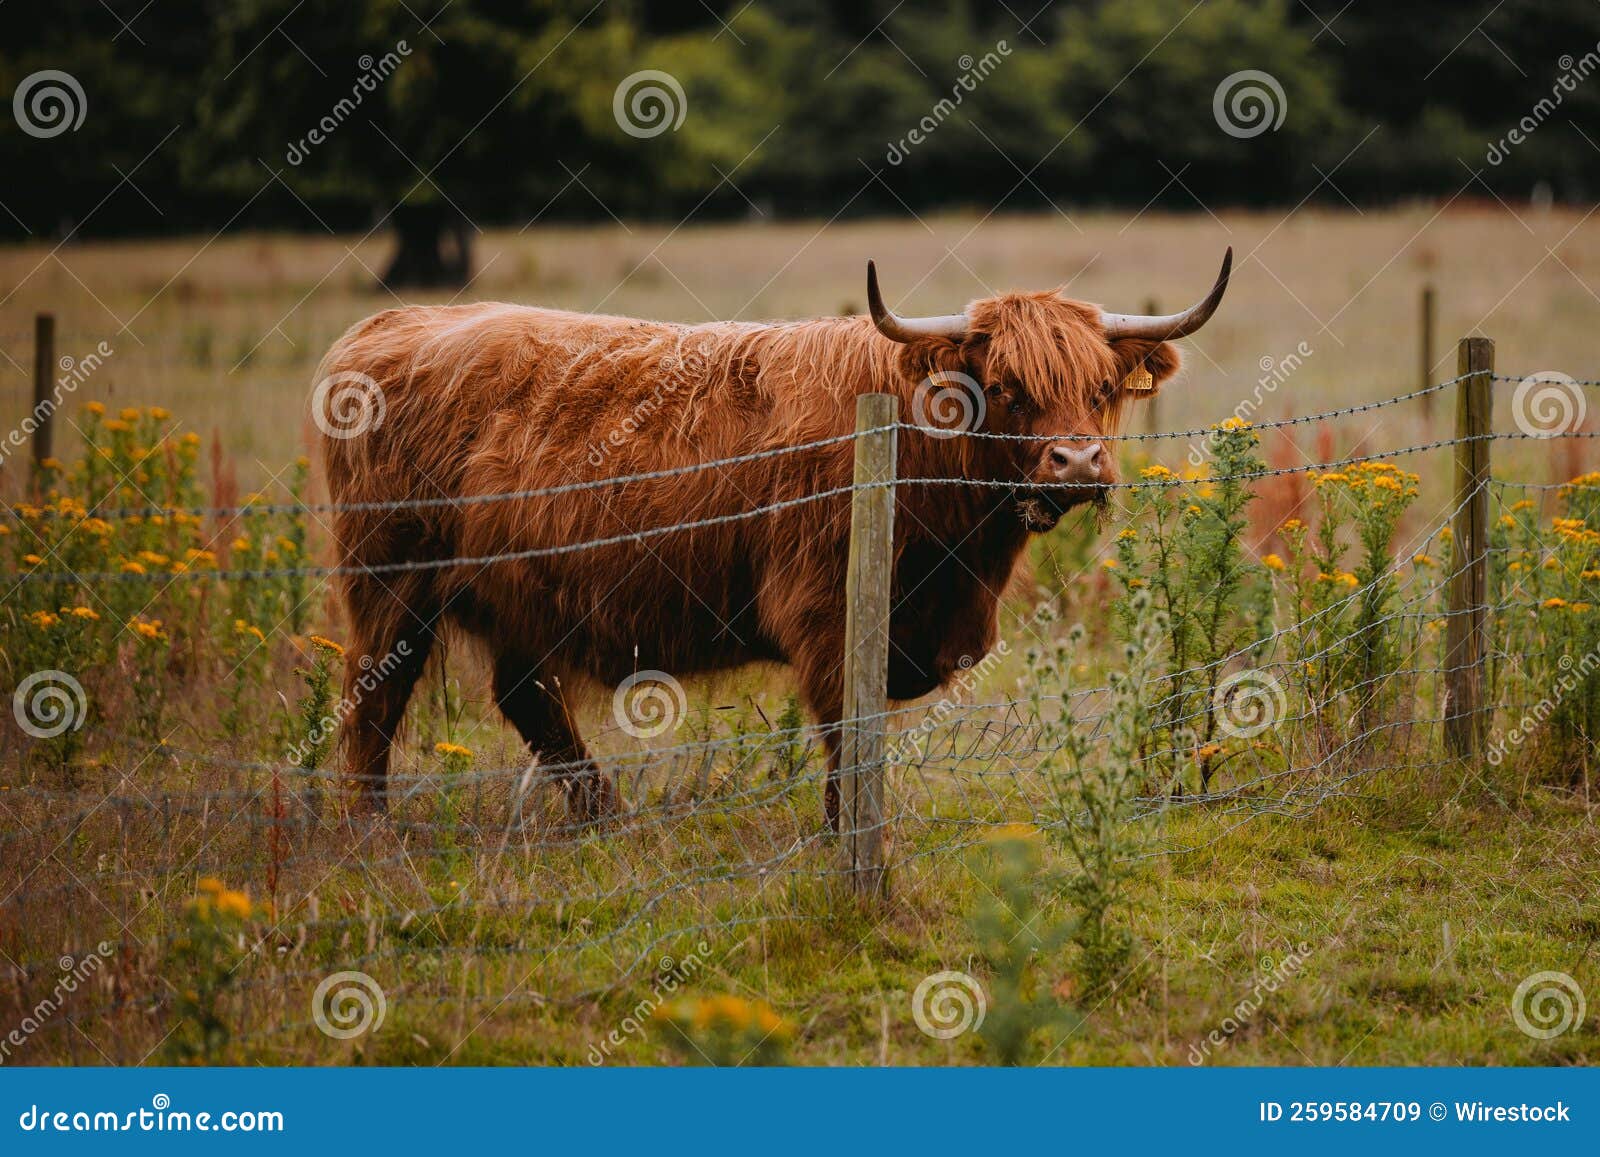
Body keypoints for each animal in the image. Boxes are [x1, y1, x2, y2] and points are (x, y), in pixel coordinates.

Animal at [316, 250, 1231, 827]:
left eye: (1104, 386)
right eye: (1005, 387)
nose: (1075, 462)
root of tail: (386, 325)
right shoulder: (827, 610)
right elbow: (845, 732)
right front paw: (843, 833)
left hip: (519, 597)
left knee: (526, 695)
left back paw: (605, 818)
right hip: (390, 584)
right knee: (373, 702)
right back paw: (372, 833)